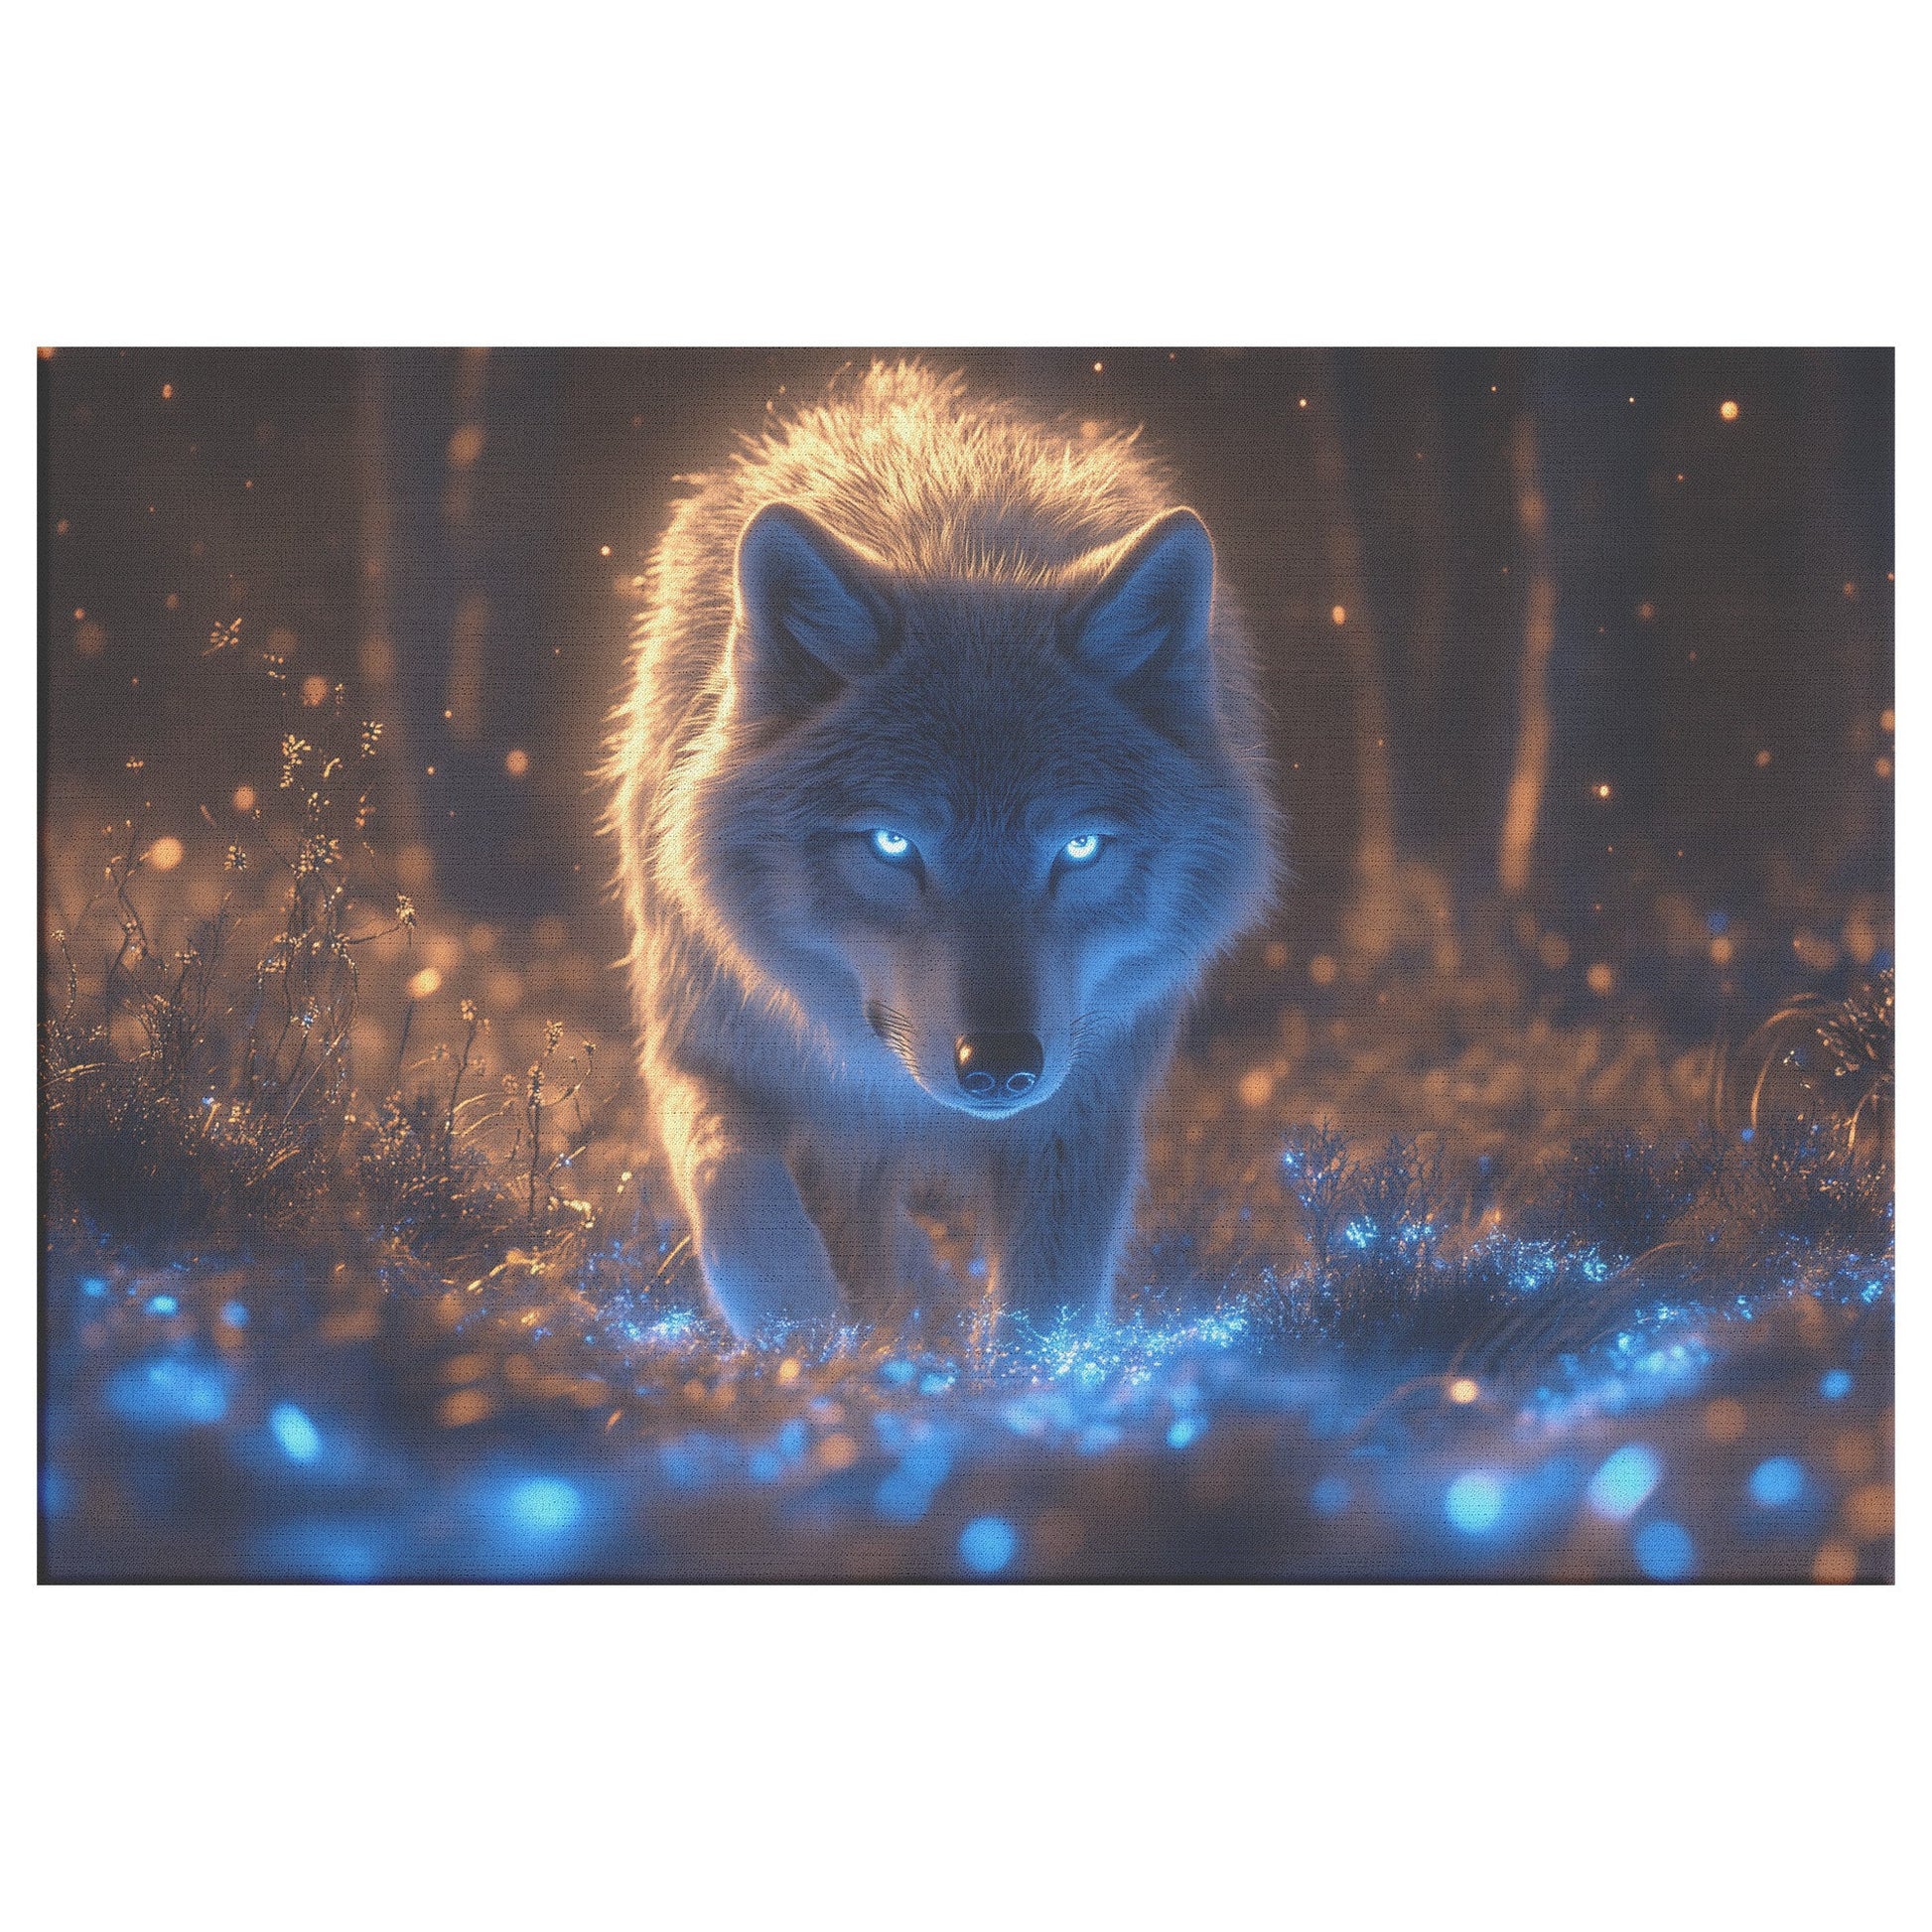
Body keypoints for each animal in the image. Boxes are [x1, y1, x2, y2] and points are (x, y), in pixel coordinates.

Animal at [604, 363, 1279, 1340]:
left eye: (1078, 848)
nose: (998, 1063)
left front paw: (1018, 1375)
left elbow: (1047, 1309)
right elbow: (739, 1202)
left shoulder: (1083, 1113)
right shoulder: (706, 1047)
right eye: (894, 844)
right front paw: (808, 1344)